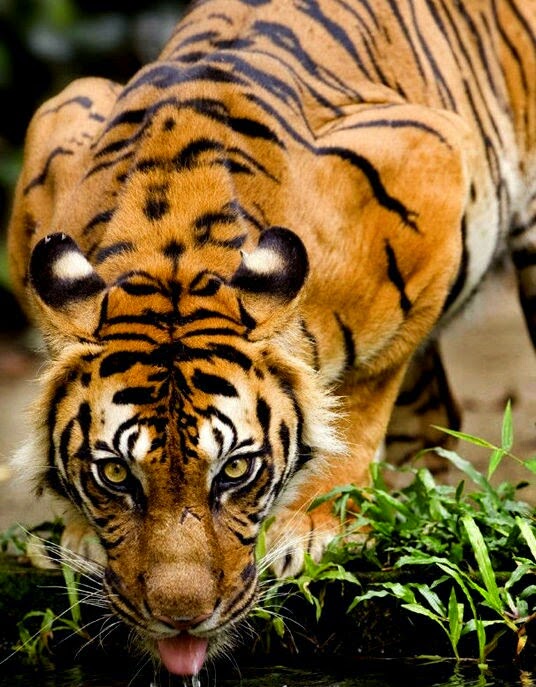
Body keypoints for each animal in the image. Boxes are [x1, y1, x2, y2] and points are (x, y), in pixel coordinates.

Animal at [7, 0, 535, 678]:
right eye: (116, 476)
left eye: (236, 470)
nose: (182, 618)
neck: (171, 254)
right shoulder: (57, 123)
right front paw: (78, 538)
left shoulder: (431, 156)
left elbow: (358, 398)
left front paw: (315, 528)